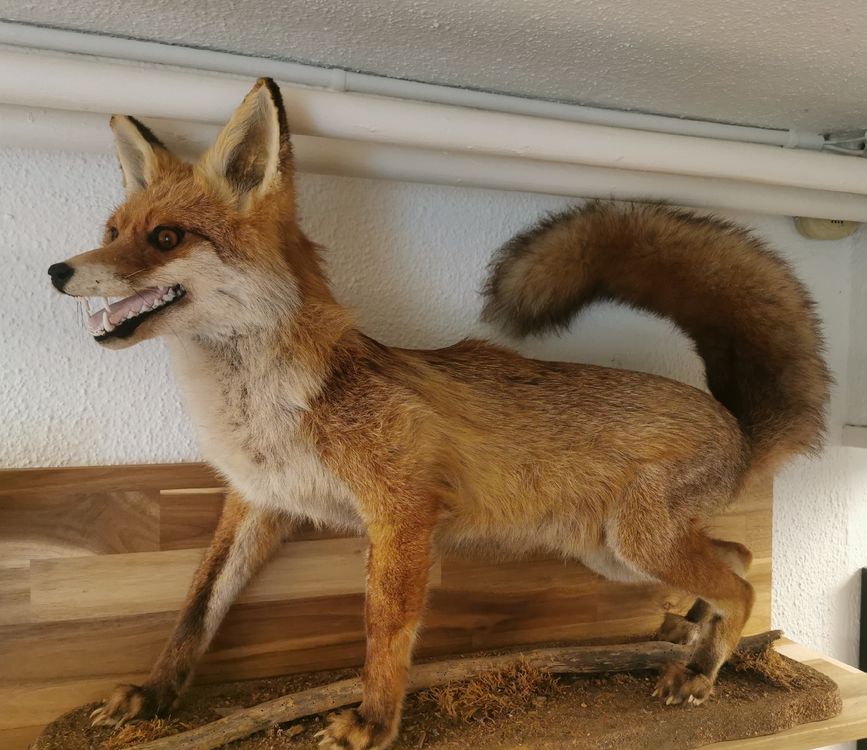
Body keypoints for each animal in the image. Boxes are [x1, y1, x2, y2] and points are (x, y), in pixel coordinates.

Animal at [47, 77, 830, 749]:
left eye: (166, 239)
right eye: (111, 230)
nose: (56, 270)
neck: (266, 404)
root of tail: (734, 424)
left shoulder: (401, 513)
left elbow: (385, 631)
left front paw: (373, 720)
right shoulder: (257, 503)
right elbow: (196, 609)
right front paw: (154, 696)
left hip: (636, 546)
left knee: (742, 581)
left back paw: (702, 669)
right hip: (613, 554)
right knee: (737, 556)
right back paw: (695, 632)